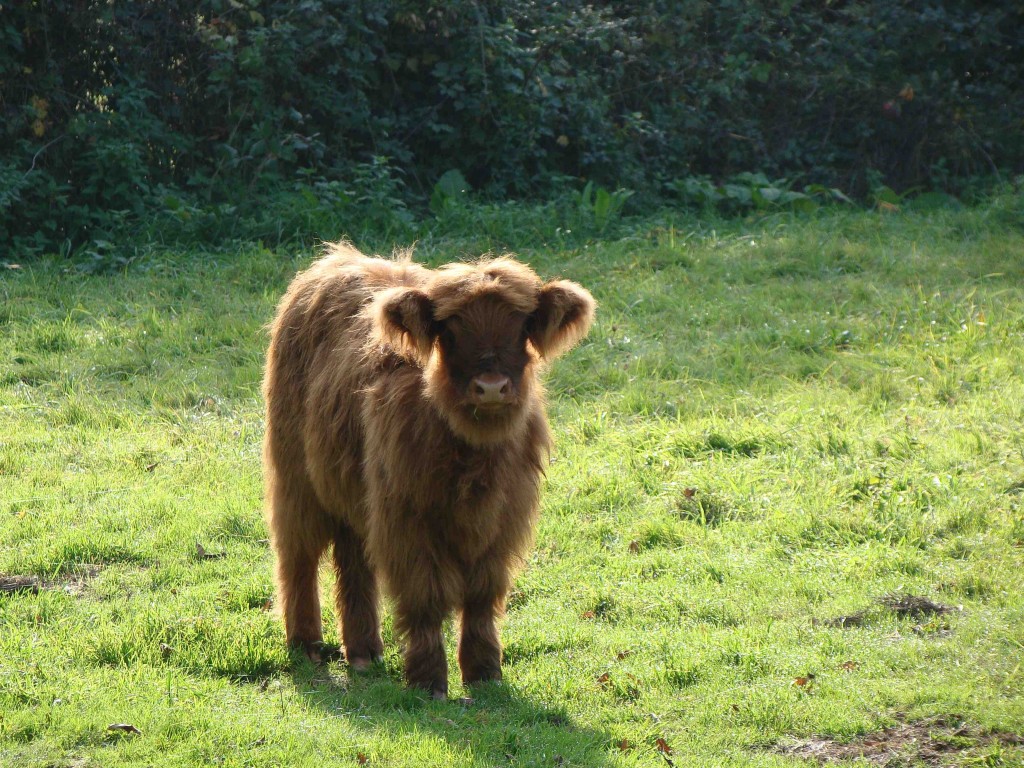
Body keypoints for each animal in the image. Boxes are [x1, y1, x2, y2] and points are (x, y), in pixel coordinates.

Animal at [262, 242, 595, 698]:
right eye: (450, 331)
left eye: (521, 327)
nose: (491, 387)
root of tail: (336, 258)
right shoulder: (407, 520)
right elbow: (426, 596)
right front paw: (428, 679)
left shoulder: (504, 519)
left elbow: (482, 596)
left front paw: (484, 671)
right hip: (295, 477)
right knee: (298, 554)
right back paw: (306, 643)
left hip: (353, 486)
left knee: (353, 559)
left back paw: (364, 651)